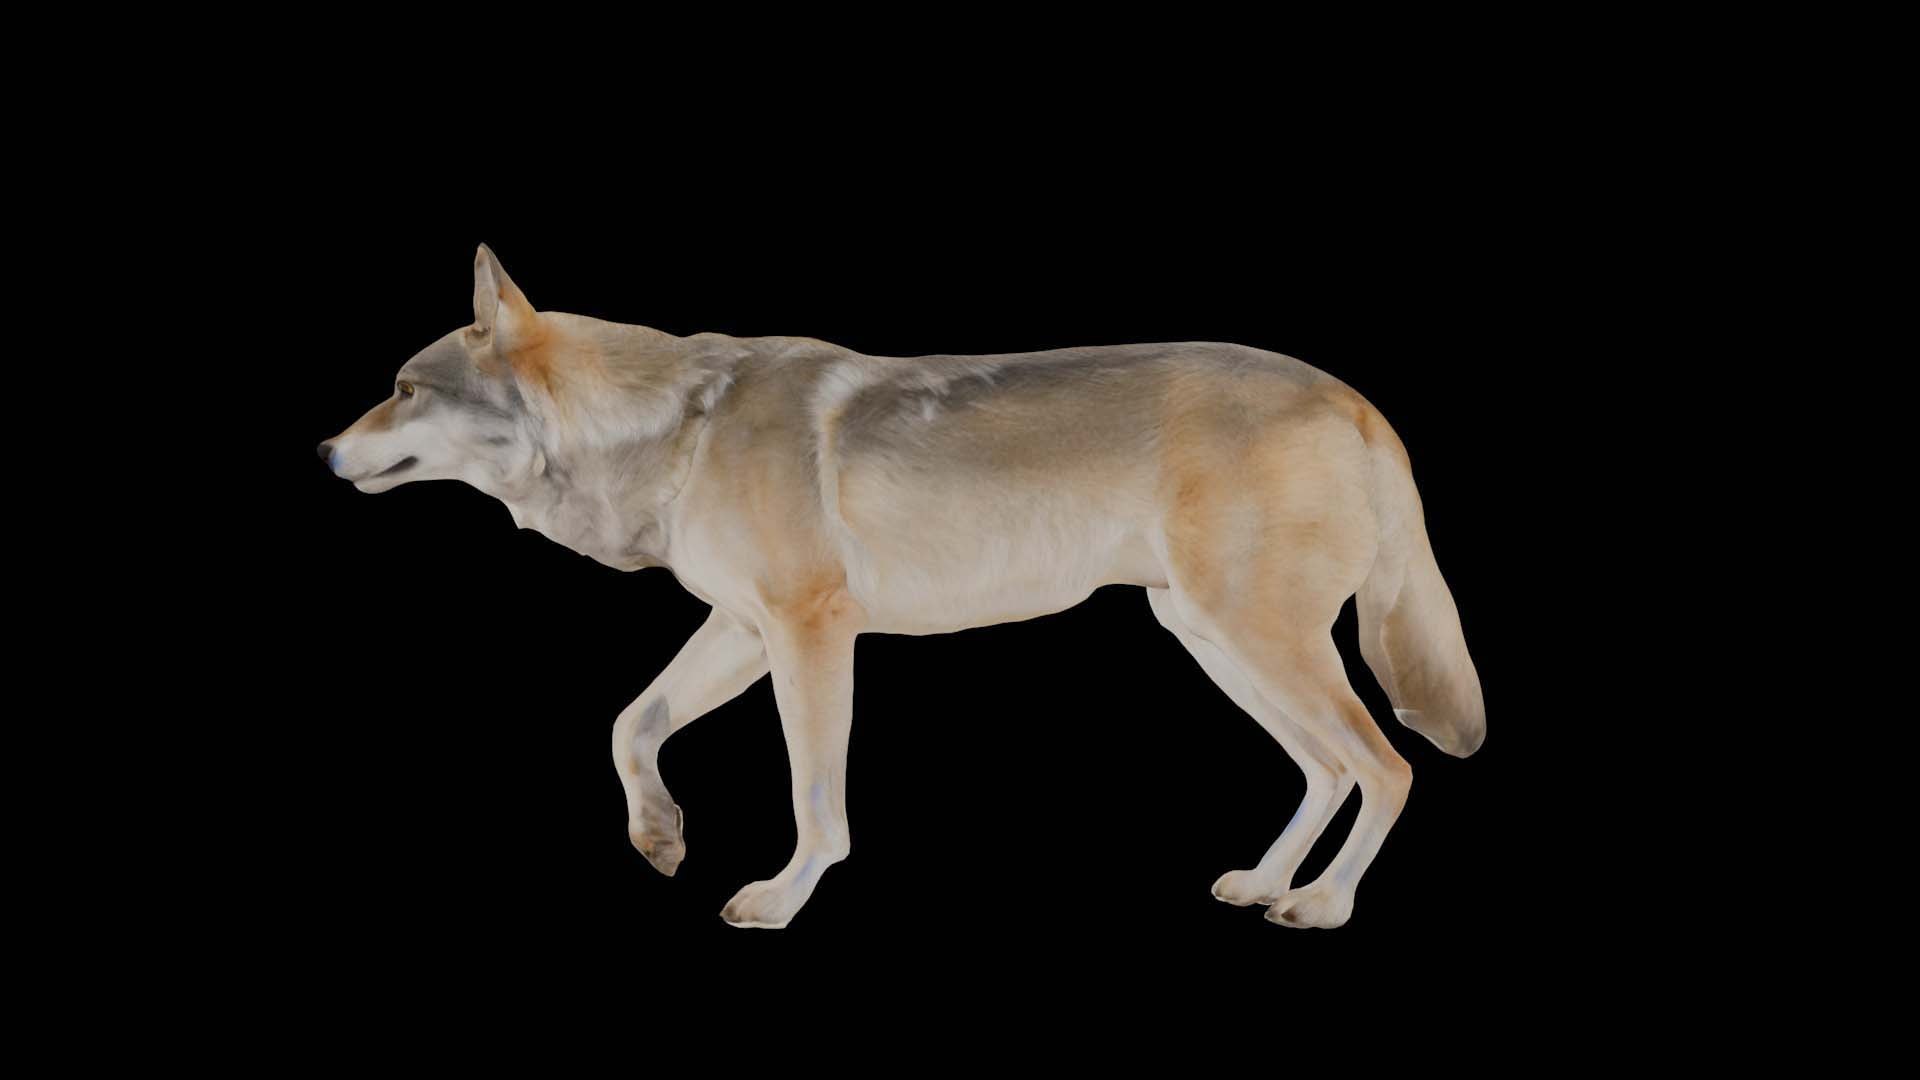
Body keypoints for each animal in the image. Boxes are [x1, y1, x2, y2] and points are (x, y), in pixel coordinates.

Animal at [319, 245, 1485, 930]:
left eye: (402, 388)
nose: (324, 451)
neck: (673, 427)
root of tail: (1354, 397)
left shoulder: (810, 633)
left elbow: (816, 801)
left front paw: (781, 897)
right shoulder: (742, 628)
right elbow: (627, 725)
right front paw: (660, 835)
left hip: (1255, 644)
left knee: (1387, 768)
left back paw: (1320, 904)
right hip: (1211, 641)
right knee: (1328, 771)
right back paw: (1267, 883)